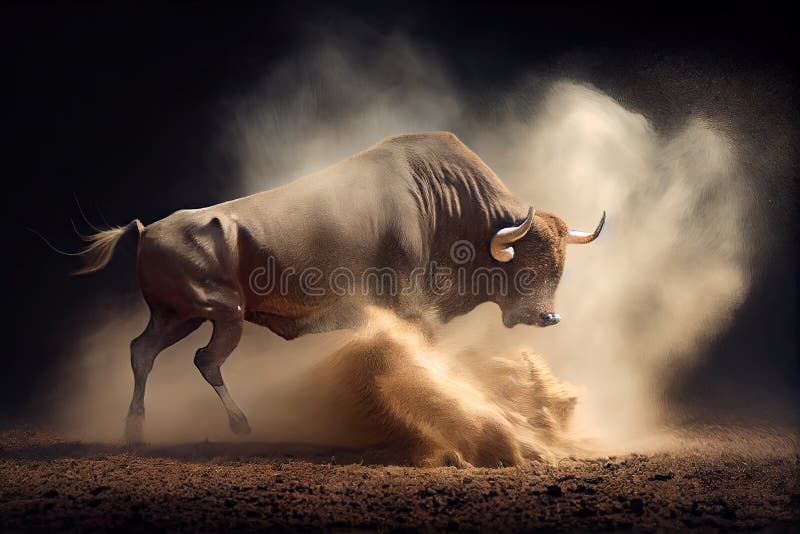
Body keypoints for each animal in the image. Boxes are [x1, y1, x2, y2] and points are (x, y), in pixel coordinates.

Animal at [74, 131, 604, 443]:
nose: (548, 317)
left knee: (142, 352)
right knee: (205, 361)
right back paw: (240, 425)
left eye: (559, 268)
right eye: (527, 267)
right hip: (223, 317)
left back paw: (135, 431)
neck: (444, 202)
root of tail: (148, 229)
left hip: (179, 317)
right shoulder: (415, 313)